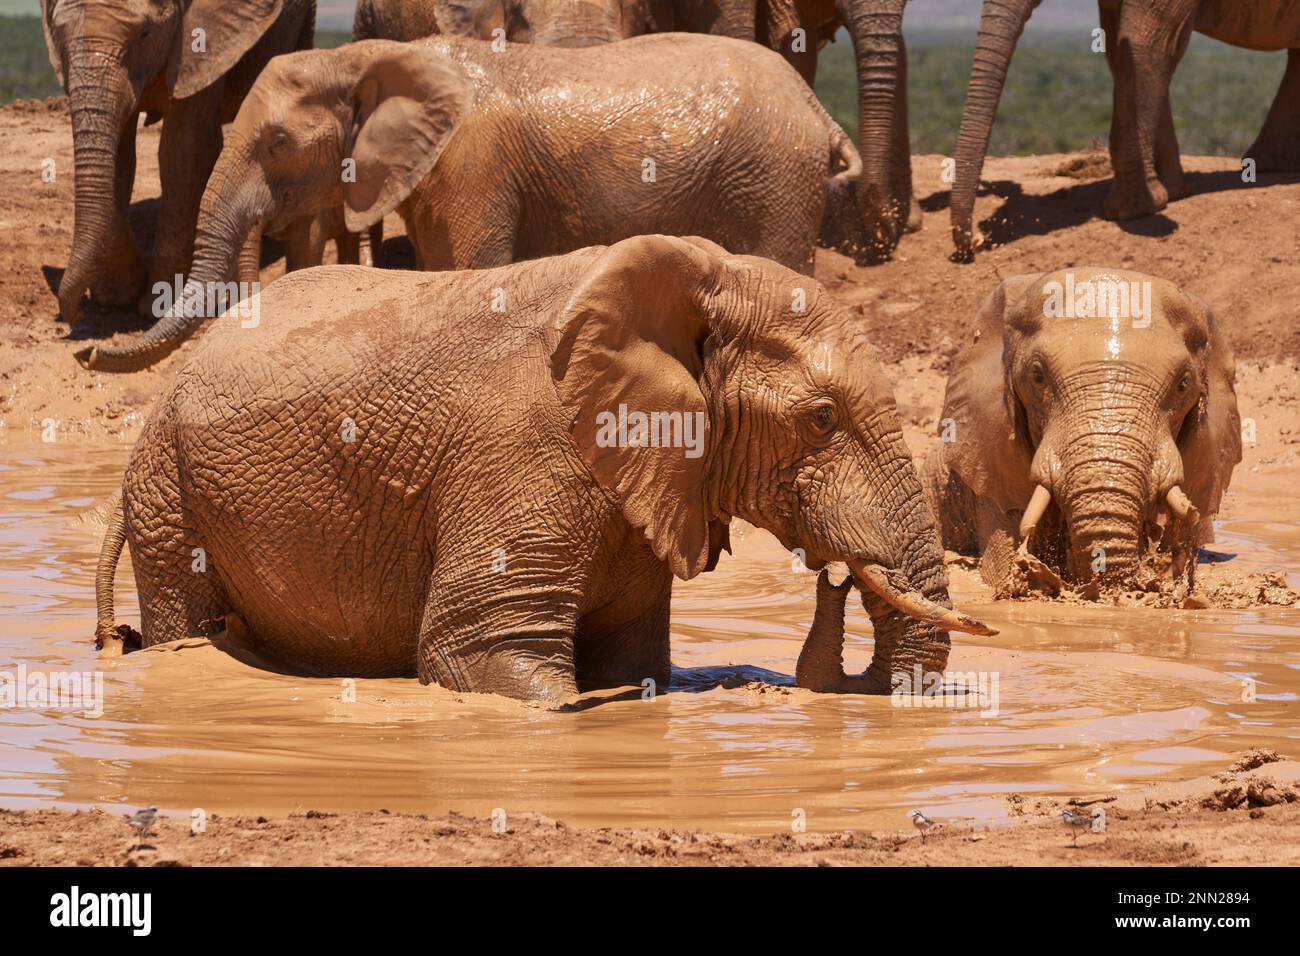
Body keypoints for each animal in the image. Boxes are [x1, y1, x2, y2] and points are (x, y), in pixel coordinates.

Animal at [40, 0, 316, 325]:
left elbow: (183, 147)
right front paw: (116, 298)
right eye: (58, 37)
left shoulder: (200, 41)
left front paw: (157, 305)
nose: (75, 314)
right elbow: (121, 150)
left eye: (145, 34)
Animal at [75, 34, 864, 371]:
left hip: (773, 183)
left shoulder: (474, 165)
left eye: (276, 141)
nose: (89, 350)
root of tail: (819, 110)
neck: (368, 54)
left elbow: (477, 268)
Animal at [90, 235, 994, 700]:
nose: (834, 575)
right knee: (184, 616)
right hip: (169, 491)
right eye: (821, 420)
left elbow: (630, 664)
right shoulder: (521, 453)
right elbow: (483, 656)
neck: (699, 277)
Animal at [951, 0, 1300, 257]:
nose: (973, 244)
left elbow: (1144, 43)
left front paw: (1133, 210)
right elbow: (1117, 45)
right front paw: (1170, 191)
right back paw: (1269, 165)